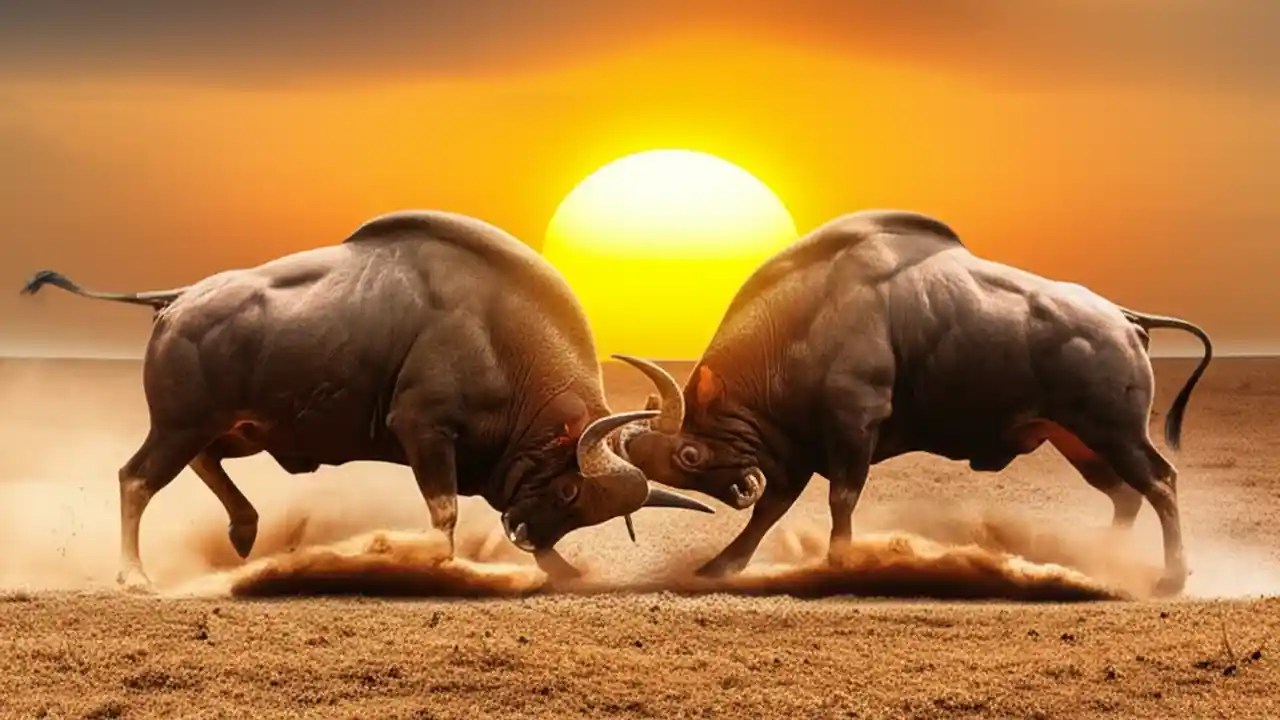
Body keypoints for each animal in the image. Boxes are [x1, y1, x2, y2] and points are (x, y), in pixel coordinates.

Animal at [21, 210, 712, 589]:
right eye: (571, 491)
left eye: (583, 511)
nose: (525, 533)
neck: (498, 332)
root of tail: (179, 299)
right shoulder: (425, 432)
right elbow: (443, 519)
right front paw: (411, 558)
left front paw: (559, 568)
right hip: (180, 425)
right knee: (136, 478)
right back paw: (135, 575)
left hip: (235, 430)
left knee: (201, 464)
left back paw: (245, 529)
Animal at [613, 209, 1212, 596]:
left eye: (689, 454)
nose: (739, 489)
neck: (806, 318)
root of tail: (1123, 318)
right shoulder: (797, 449)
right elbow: (771, 511)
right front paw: (721, 565)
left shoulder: (852, 427)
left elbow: (841, 499)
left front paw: (839, 563)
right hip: (1078, 442)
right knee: (1126, 495)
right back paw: (1106, 562)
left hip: (1115, 434)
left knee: (1160, 483)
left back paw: (1168, 577)